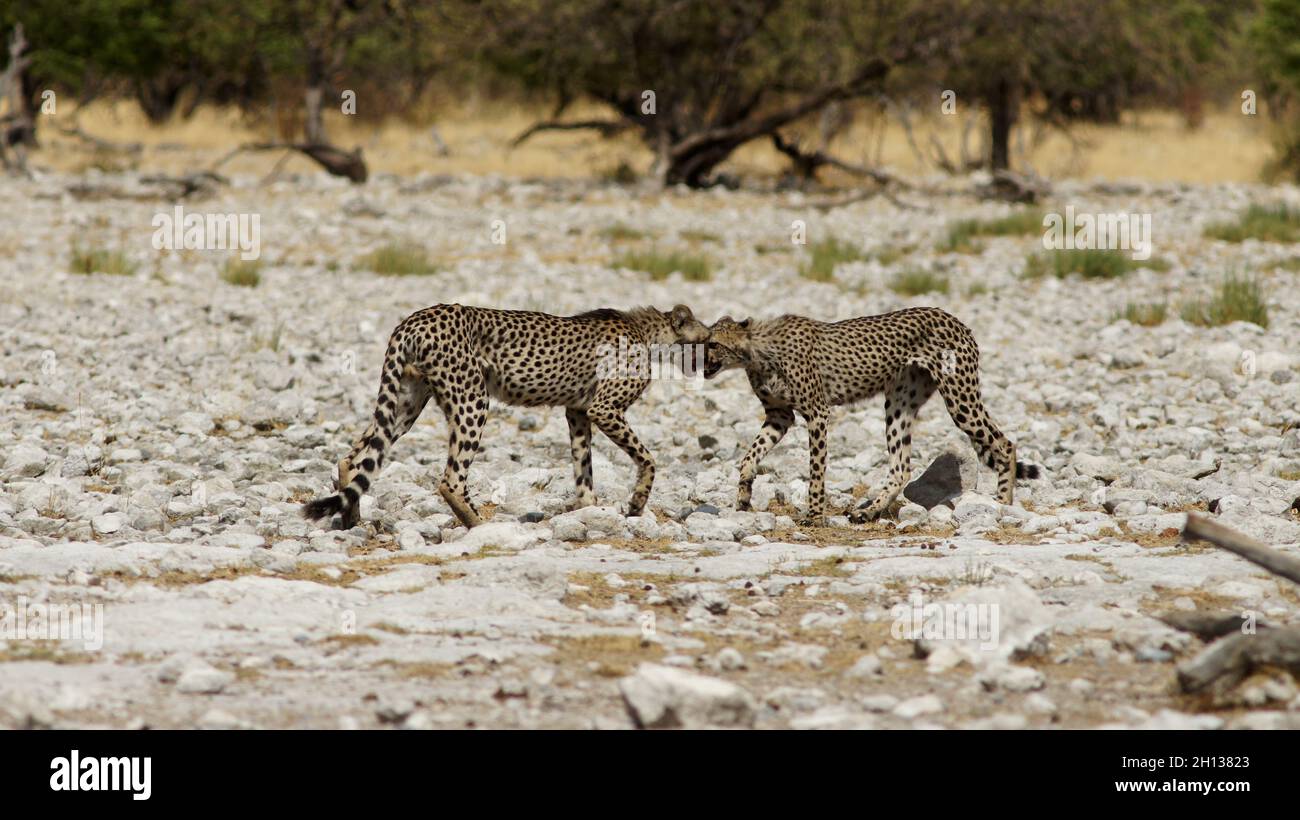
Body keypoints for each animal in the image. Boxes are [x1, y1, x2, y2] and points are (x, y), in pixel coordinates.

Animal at [303, 303, 709, 530]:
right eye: (706, 334)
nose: (710, 344)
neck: (649, 333)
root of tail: (417, 317)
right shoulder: (603, 409)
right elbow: (649, 459)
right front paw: (636, 503)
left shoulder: (578, 412)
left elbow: (584, 469)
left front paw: (589, 510)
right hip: (473, 399)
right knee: (450, 480)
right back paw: (478, 525)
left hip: (406, 403)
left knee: (353, 456)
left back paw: (351, 516)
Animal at [701, 307, 1039, 526]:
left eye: (713, 344)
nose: (701, 363)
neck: (756, 351)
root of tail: (954, 319)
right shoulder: (779, 416)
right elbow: (749, 457)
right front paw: (743, 497)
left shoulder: (817, 413)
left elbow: (816, 472)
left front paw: (814, 515)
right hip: (899, 404)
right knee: (901, 467)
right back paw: (868, 512)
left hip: (960, 399)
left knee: (1004, 443)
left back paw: (1003, 505)